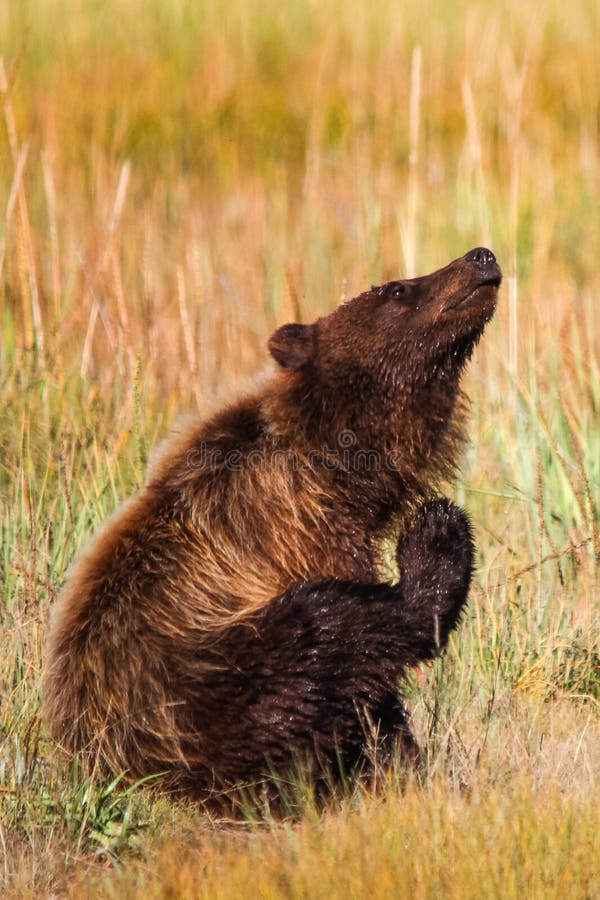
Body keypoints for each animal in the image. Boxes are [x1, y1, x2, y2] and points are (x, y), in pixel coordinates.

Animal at [43, 247, 501, 804]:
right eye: (396, 289)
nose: (480, 256)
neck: (343, 470)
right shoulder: (299, 528)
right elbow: (364, 656)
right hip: (192, 690)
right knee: (320, 632)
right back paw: (436, 543)